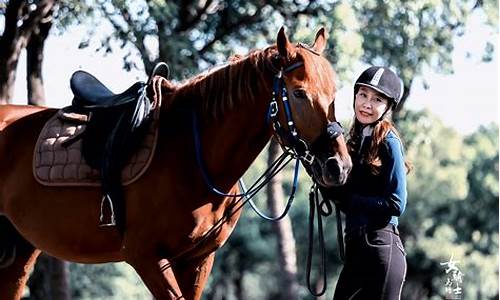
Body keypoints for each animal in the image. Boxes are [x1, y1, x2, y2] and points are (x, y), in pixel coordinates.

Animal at [0, 27, 352, 298]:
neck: (191, 157)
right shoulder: (147, 258)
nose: (339, 166)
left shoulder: (198, 259)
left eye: (334, 93)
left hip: (20, 250)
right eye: (299, 93)